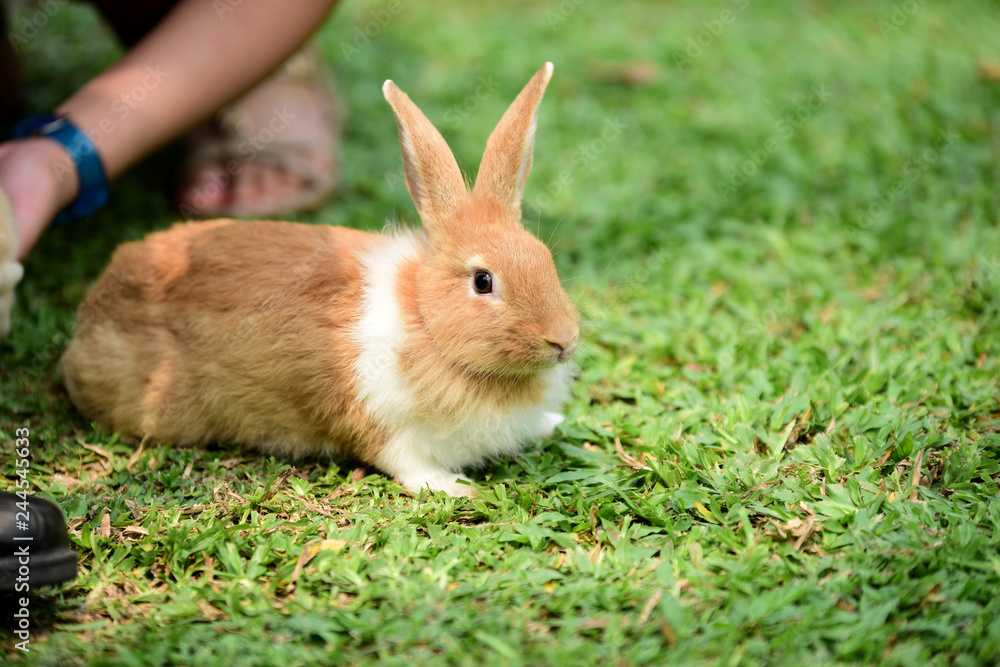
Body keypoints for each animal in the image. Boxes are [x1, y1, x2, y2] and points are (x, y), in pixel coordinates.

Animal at [60, 63, 579, 497]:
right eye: (483, 281)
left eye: (545, 259)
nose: (563, 340)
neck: (425, 321)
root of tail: (92, 312)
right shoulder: (380, 422)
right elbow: (405, 463)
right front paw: (456, 488)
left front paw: (554, 421)